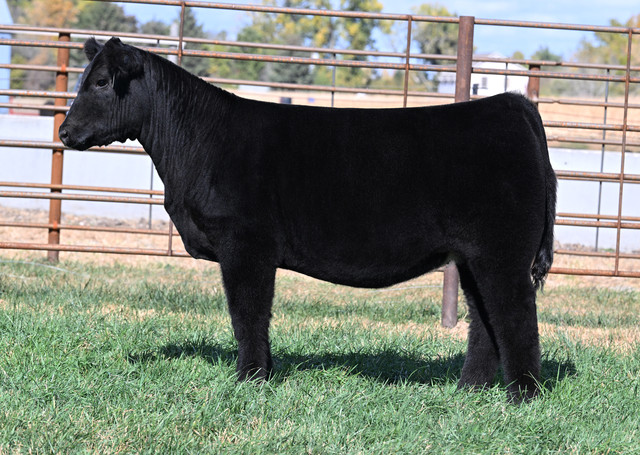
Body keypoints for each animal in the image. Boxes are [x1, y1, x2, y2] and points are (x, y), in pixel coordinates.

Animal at [59, 37, 557, 402]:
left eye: (100, 82)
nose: (64, 132)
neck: (198, 141)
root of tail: (511, 104)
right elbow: (253, 315)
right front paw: (263, 374)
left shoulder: (246, 245)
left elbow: (247, 313)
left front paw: (249, 380)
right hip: (471, 256)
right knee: (485, 320)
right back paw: (469, 391)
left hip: (501, 252)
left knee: (515, 315)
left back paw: (522, 397)